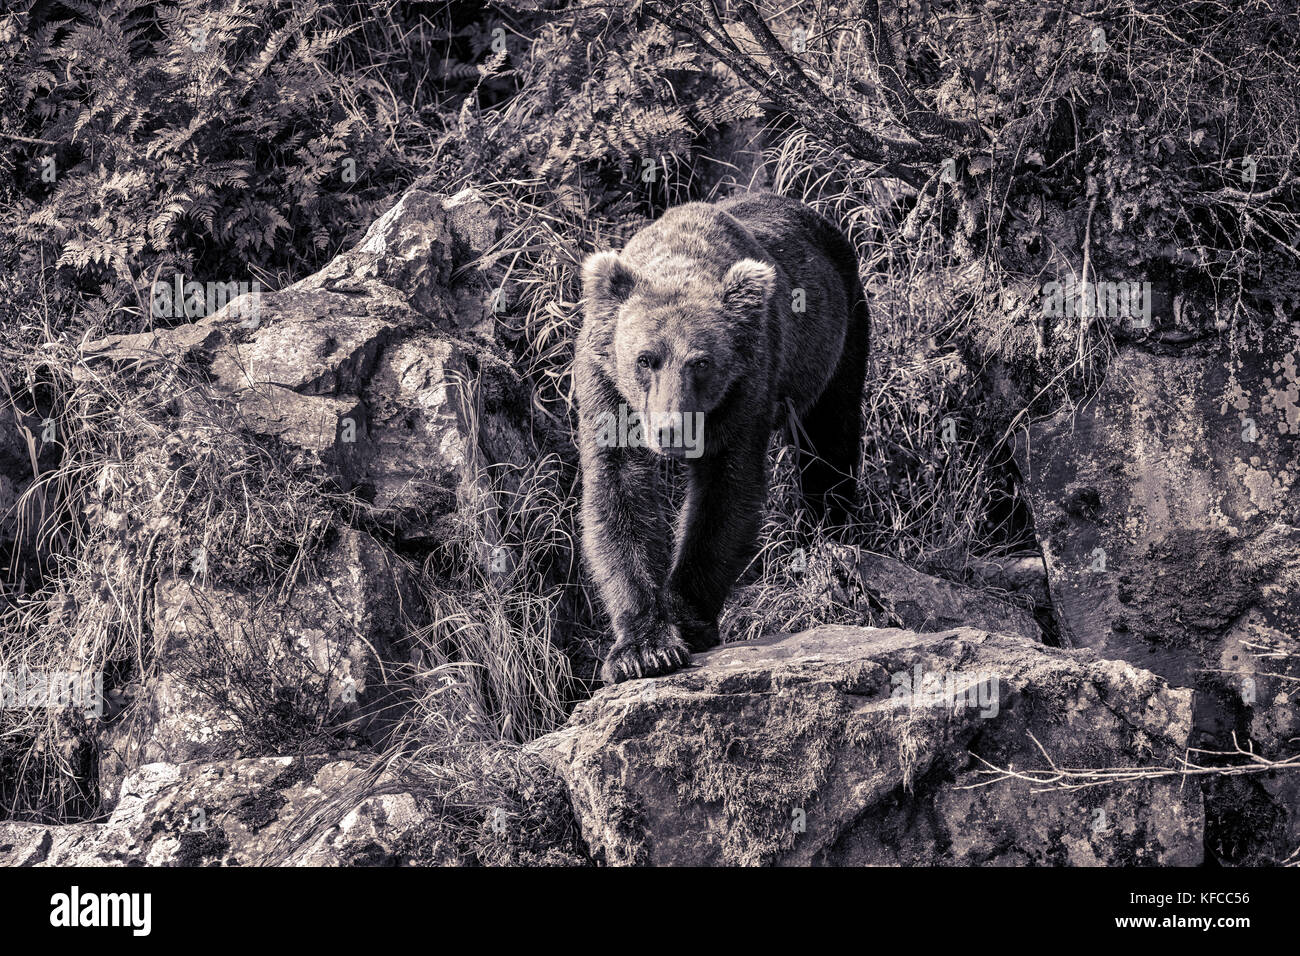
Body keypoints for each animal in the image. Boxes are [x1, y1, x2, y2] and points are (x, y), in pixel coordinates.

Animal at [576, 191, 868, 683]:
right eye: (645, 359)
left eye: (702, 362)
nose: (671, 429)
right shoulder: (606, 387)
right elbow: (618, 494)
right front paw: (643, 648)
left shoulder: (747, 382)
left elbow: (724, 493)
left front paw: (687, 618)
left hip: (840, 331)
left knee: (831, 435)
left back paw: (830, 531)